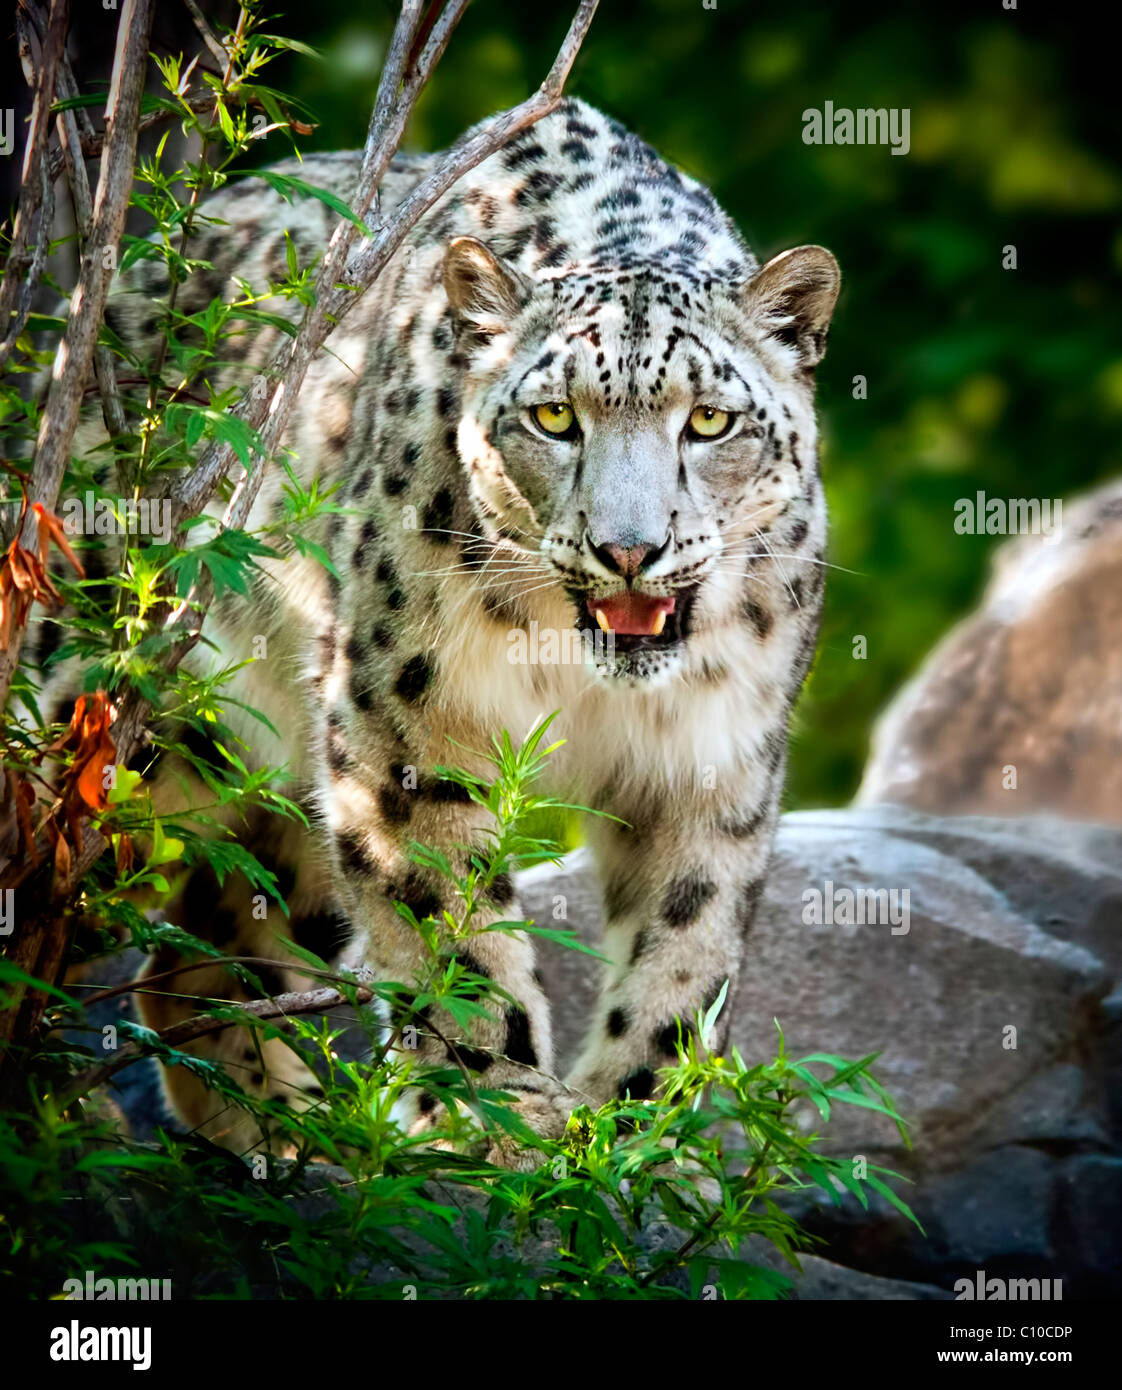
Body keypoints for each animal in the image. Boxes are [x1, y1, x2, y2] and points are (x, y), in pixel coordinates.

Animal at [29, 98, 839, 1157]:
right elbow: (448, 924)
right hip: (114, 686)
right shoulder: (405, 720)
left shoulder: (716, 759)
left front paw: (637, 1146)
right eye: (553, 417)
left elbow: (685, 952)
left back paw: (281, 1131)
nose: (629, 550)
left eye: (708, 421)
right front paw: (501, 1119)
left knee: (204, 944)